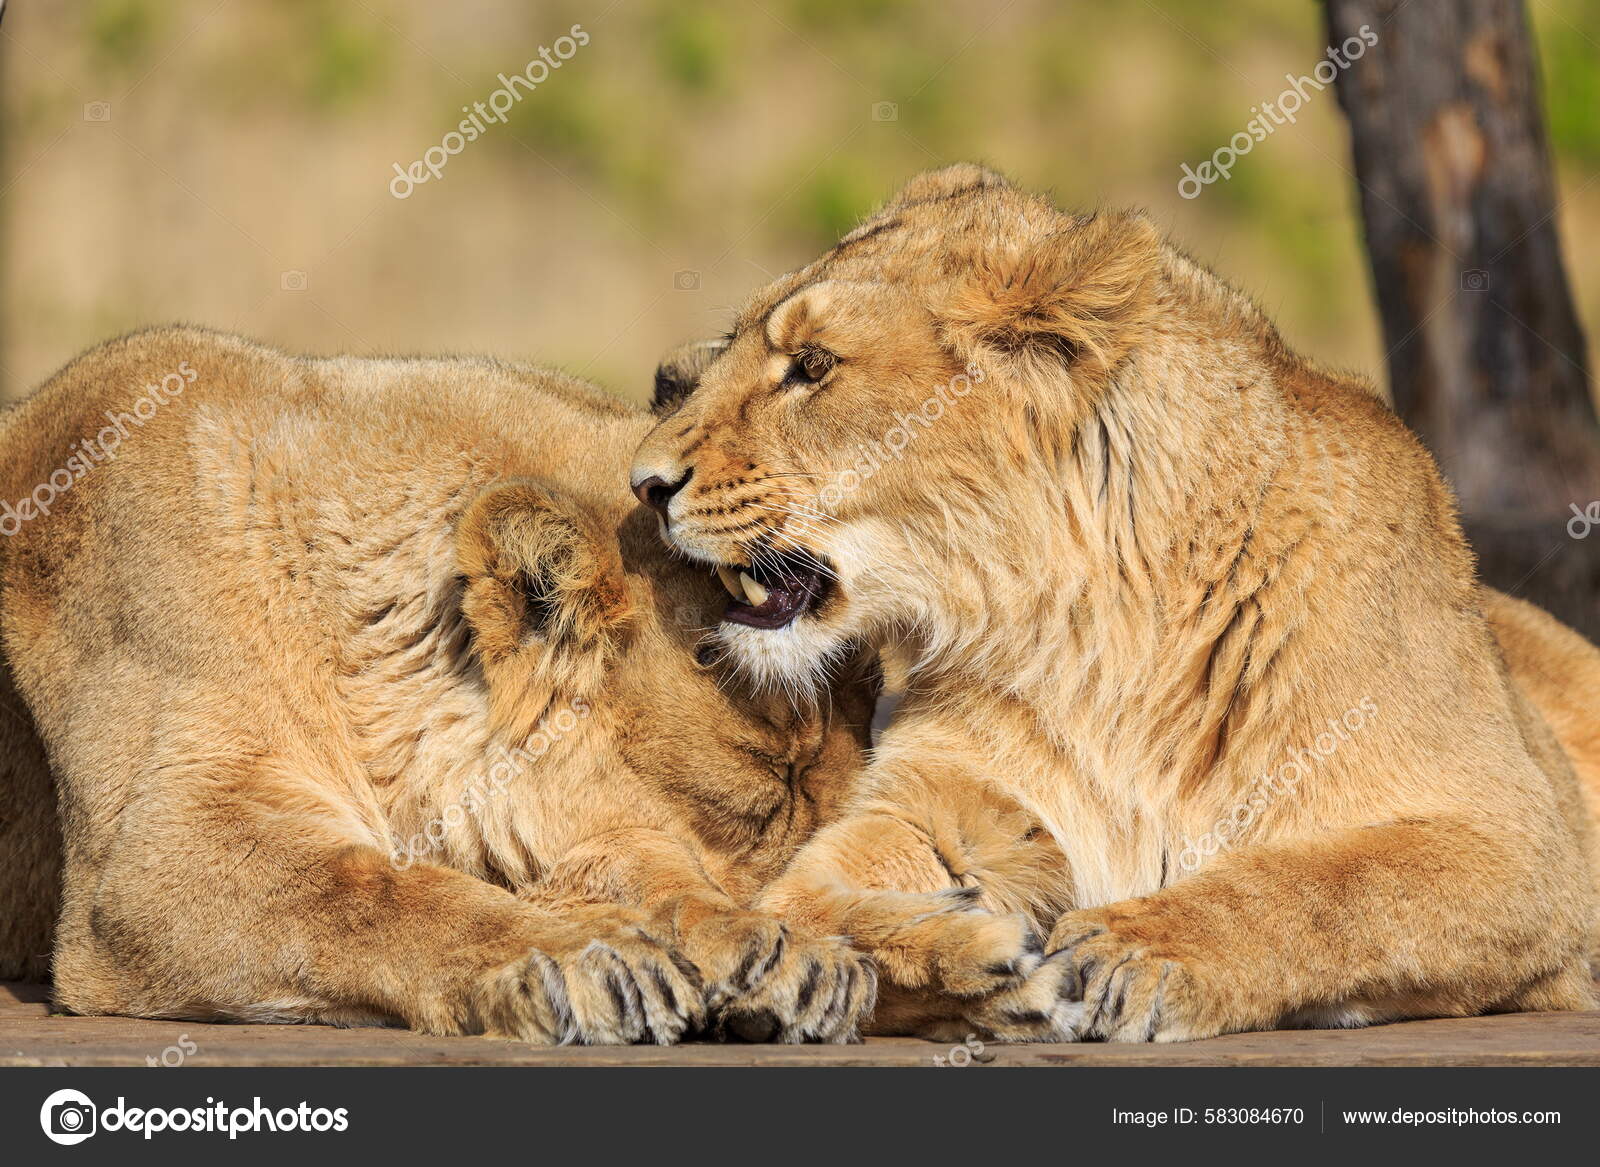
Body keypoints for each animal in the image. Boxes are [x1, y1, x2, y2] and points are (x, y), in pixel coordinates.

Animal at [0, 325, 887, 1045]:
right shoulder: (155, 859)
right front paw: (588, 959)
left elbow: (646, 875)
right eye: (775, 784)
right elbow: (378, 896)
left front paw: (774, 955)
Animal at [630, 164, 1600, 1042]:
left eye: (812, 366)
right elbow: (805, 903)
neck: (1094, 634)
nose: (644, 484)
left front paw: (1131, 947)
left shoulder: (1521, 840)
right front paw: (961, 957)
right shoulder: (936, 799)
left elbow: (1324, 885)